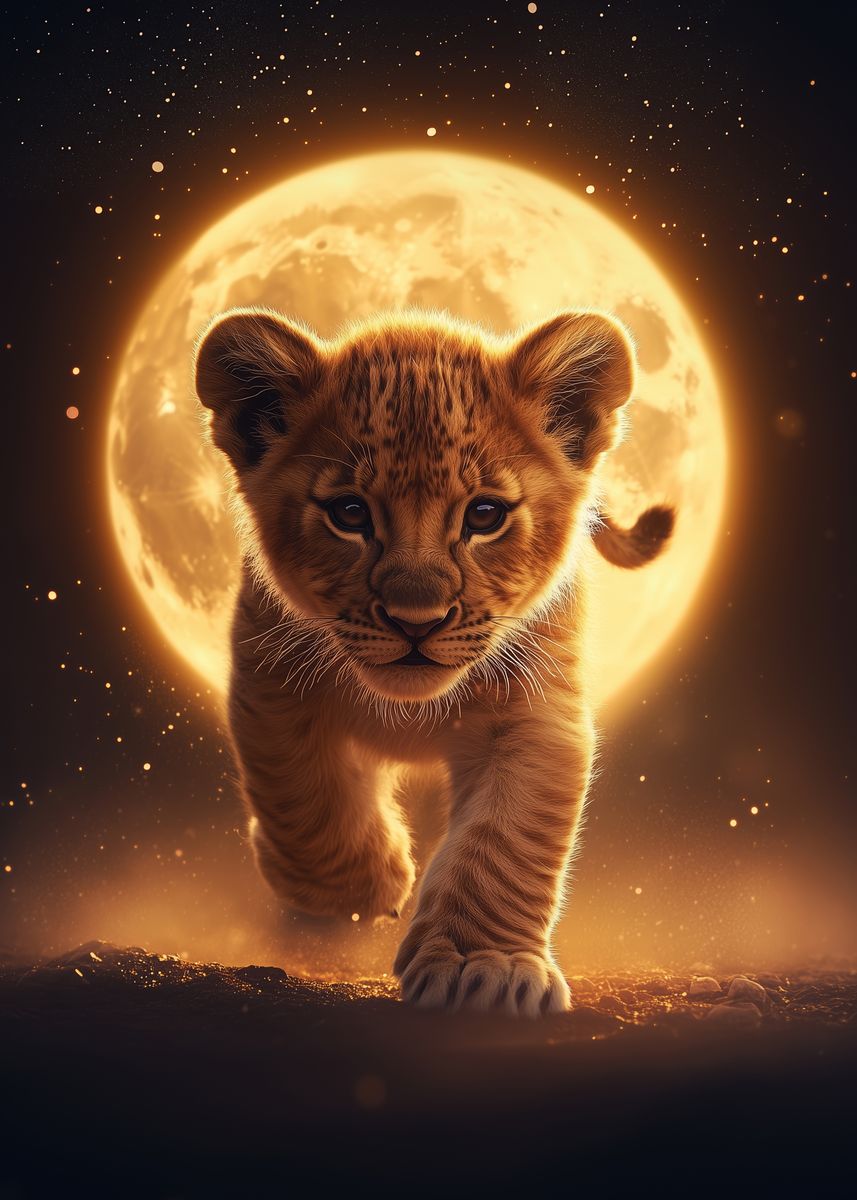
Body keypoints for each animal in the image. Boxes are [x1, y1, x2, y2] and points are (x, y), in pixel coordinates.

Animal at [195, 306, 673, 1016]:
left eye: (485, 514)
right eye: (349, 513)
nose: (415, 621)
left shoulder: (537, 715)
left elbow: (505, 842)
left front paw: (486, 970)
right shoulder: (269, 681)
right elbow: (302, 795)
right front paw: (364, 888)